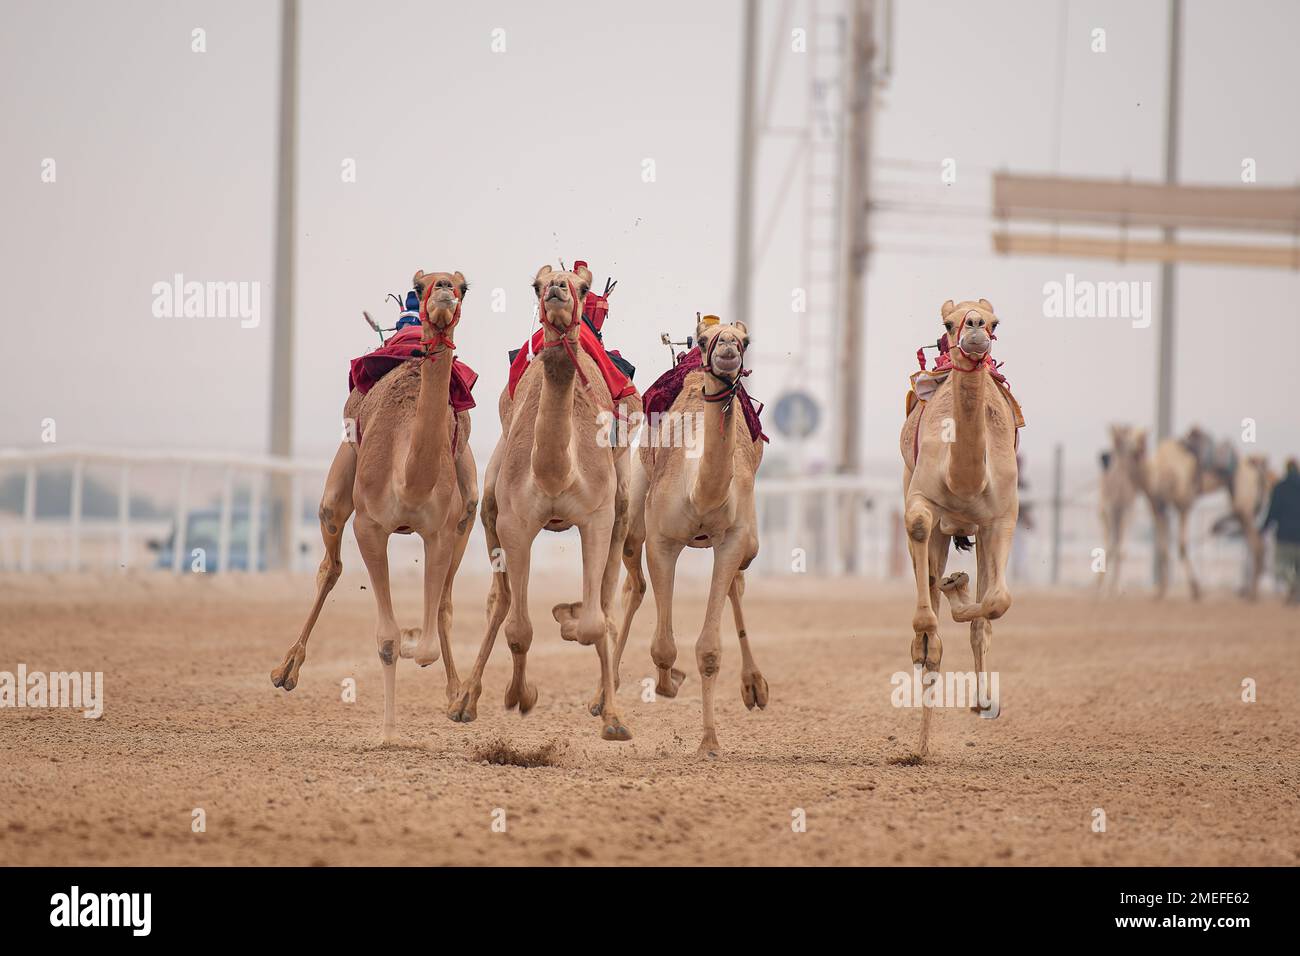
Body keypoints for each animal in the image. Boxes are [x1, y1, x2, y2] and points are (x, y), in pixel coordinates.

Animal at [271, 270, 478, 743]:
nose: (443, 290)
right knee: (329, 564)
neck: (408, 480)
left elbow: (424, 641)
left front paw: (417, 643)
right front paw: (386, 734)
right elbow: (385, 639)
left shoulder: (439, 531)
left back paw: (457, 697)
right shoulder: (369, 526)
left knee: (445, 600)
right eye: (421, 286)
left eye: (463, 286)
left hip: (470, 504)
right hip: (340, 482)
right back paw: (285, 670)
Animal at [447, 263, 641, 741]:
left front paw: (613, 719)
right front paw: (521, 696)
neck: (556, 471)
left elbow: (594, 622)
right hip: (490, 508)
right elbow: (518, 627)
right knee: (499, 602)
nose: (557, 290)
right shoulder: (515, 524)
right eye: (536, 284)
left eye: (583, 286)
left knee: (607, 607)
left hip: (622, 510)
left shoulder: (596, 517)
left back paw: (605, 705)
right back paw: (465, 702)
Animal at [614, 316, 765, 757]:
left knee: (737, 583)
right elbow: (663, 646)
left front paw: (710, 742)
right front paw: (668, 685)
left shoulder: (731, 540)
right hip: (635, 509)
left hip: (749, 541)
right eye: (702, 338)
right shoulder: (662, 541)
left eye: (746, 339)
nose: (727, 346)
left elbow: (709, 650)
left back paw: (755, 686)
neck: (700, 490)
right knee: (633, 584)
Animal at [899, 299, 1019, 758]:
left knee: (983, 617)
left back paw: (981, 702)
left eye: (995, 320)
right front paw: (926, 630)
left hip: (978, 534)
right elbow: (916, 522)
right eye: (947, 323)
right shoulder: (921, 500)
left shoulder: (1001, 517)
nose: (975, 328)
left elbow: (997, 602)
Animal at [1096, 424, 1148, 596]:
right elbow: (1111, 547)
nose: (1136, 446)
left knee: (1116, 542)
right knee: (1109, 541)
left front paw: (1118, 589)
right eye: (1119, 434)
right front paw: (1105, 589)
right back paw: (1100, 584)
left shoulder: (1127, 510)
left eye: (1129, 433)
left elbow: (1121, 550)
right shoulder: (1110, 509)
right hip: (1104, 515)